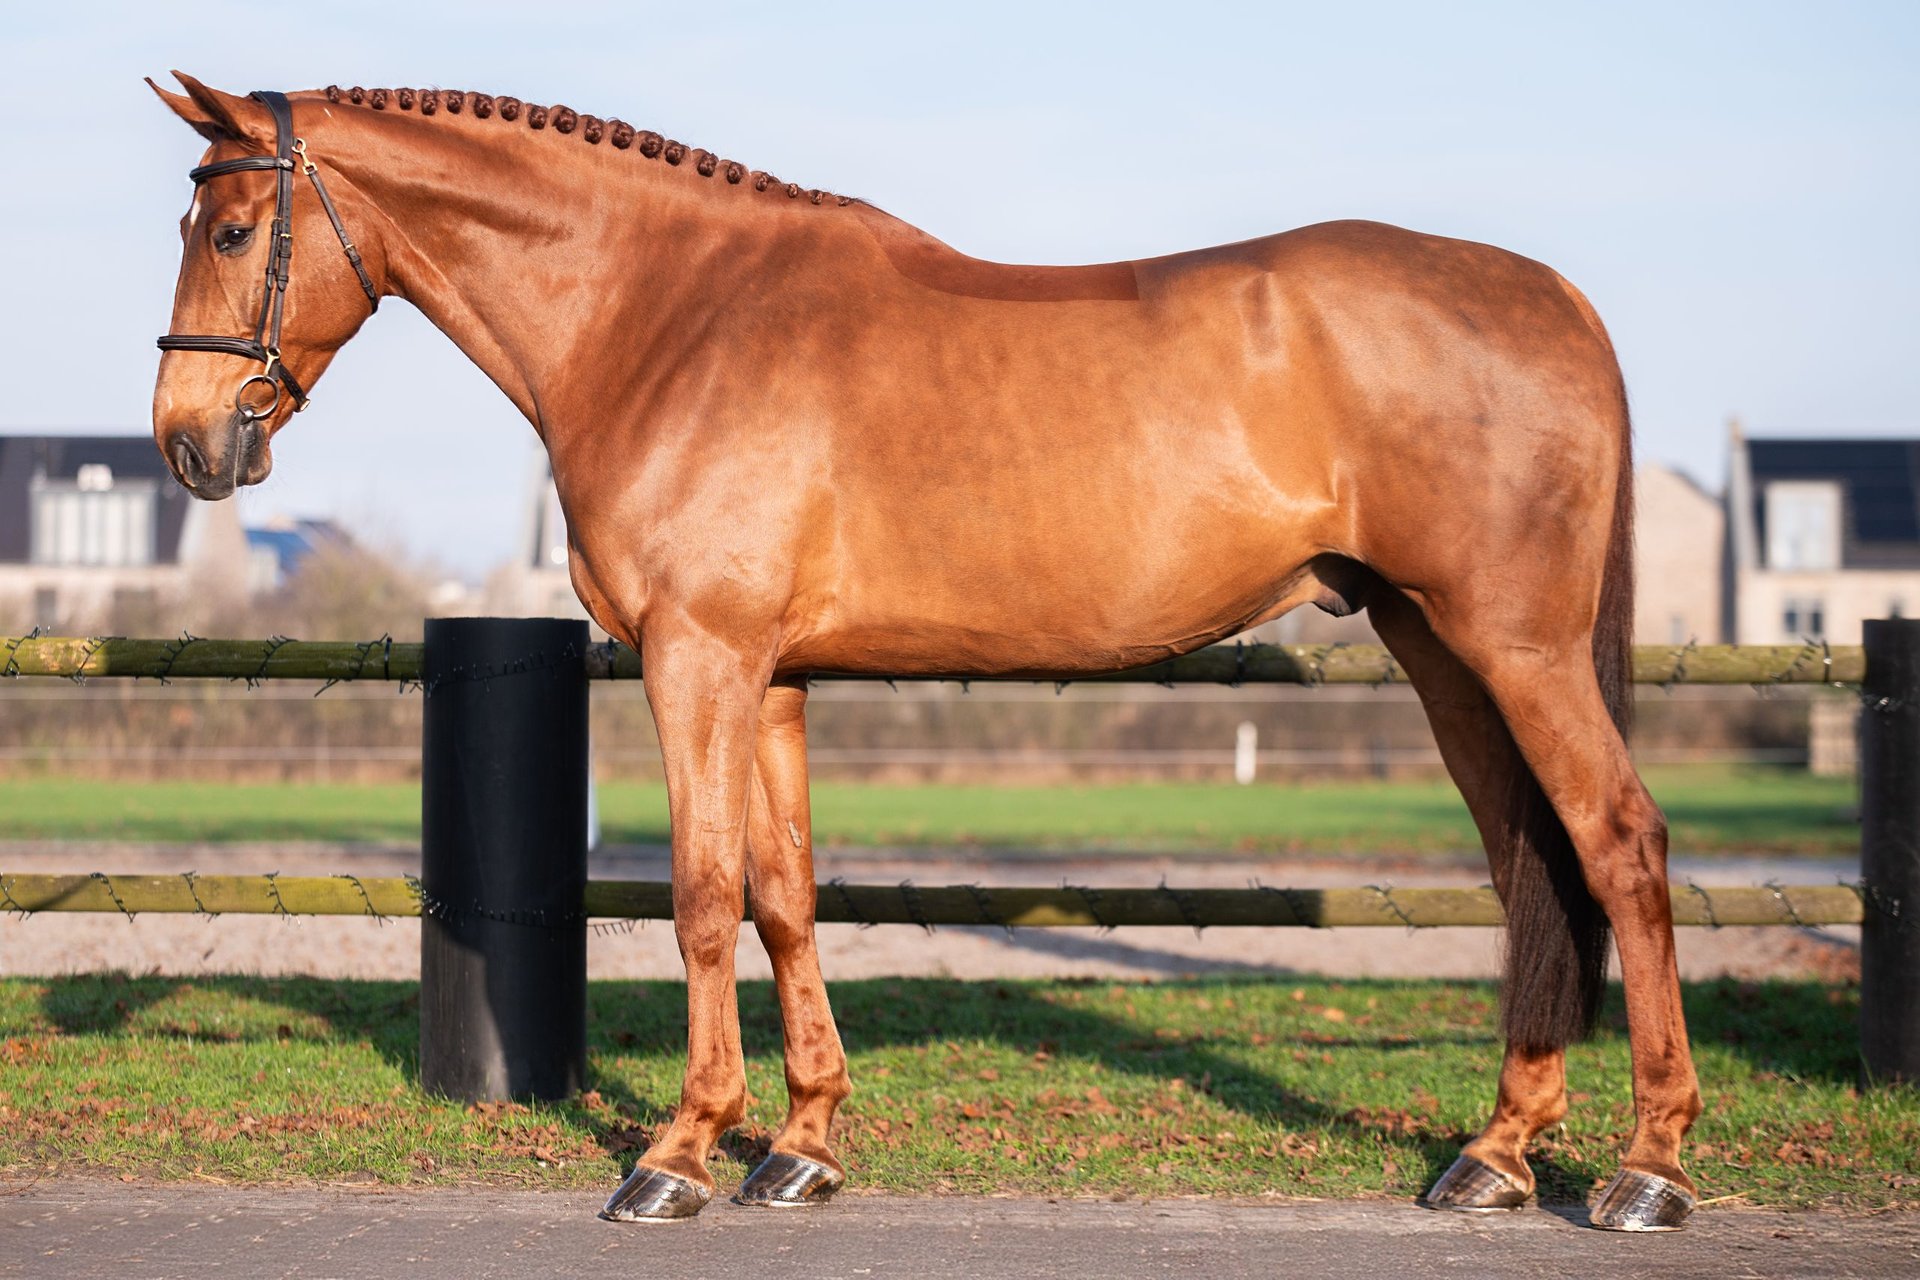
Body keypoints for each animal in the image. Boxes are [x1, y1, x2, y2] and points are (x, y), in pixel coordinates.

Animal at [147, 72, 1700, 1231]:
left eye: (227, 230)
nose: (188, 443)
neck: (671, 316)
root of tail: (1554, 298)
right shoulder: (767, 677)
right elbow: (783, 896)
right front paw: (801, 1144)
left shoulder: (696, 661)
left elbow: (701, 895)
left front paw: (677, 1153)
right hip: (1441, 650)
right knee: (1528, 863)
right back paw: (1498, 1152)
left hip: (1518, 647)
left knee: (1618, 845)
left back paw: (1646, 1167)